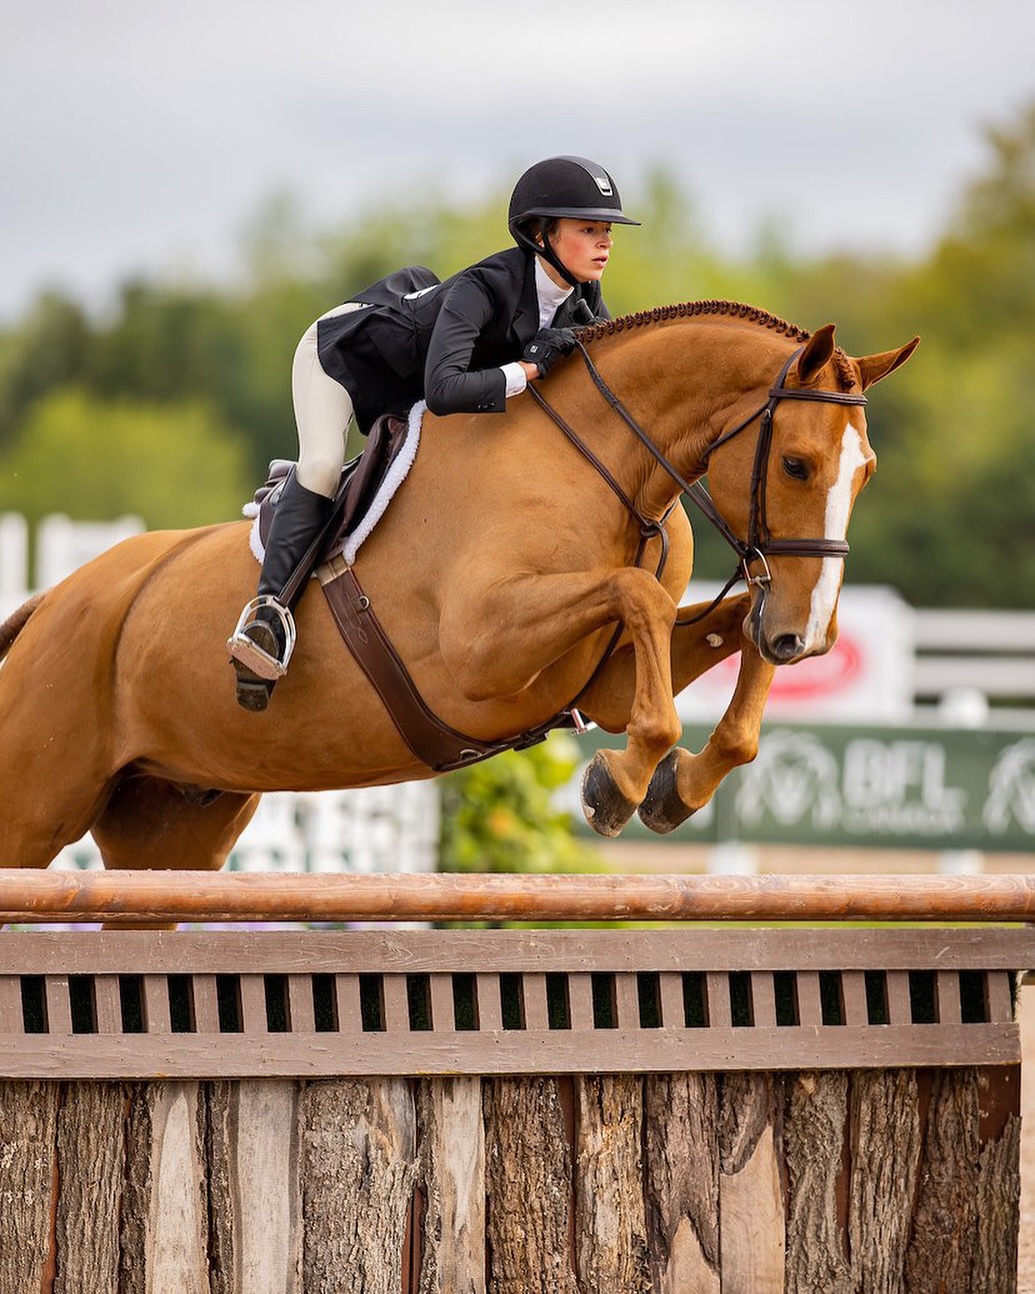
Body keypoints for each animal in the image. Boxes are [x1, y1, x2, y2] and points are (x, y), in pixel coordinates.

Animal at [0, 301, 917, 871]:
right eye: (795, 464)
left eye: (866, 472)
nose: (807, 634)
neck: (606, 466)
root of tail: (53, 601)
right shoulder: (481, 653)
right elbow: (639, 595)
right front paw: (614, 786)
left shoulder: (601, 675)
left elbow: (716, 654)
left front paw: (672, 787)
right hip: (35, 806)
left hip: (173, 828)